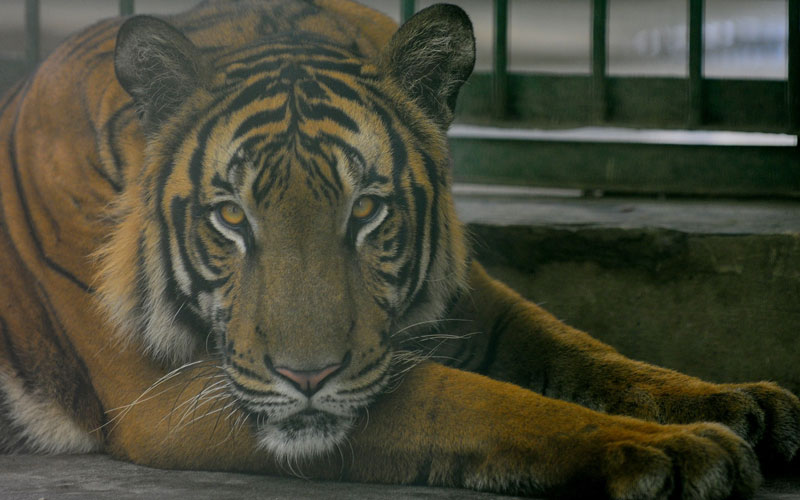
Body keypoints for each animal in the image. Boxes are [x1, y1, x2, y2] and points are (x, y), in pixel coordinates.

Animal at [0, 1, 798, 498]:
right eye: (230, 216)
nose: (308, 376)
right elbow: (466, 400)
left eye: (367, 210)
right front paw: (675, 449)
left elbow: (578, 351)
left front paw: (740, 404)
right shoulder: (172, 393)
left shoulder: (468, 300)